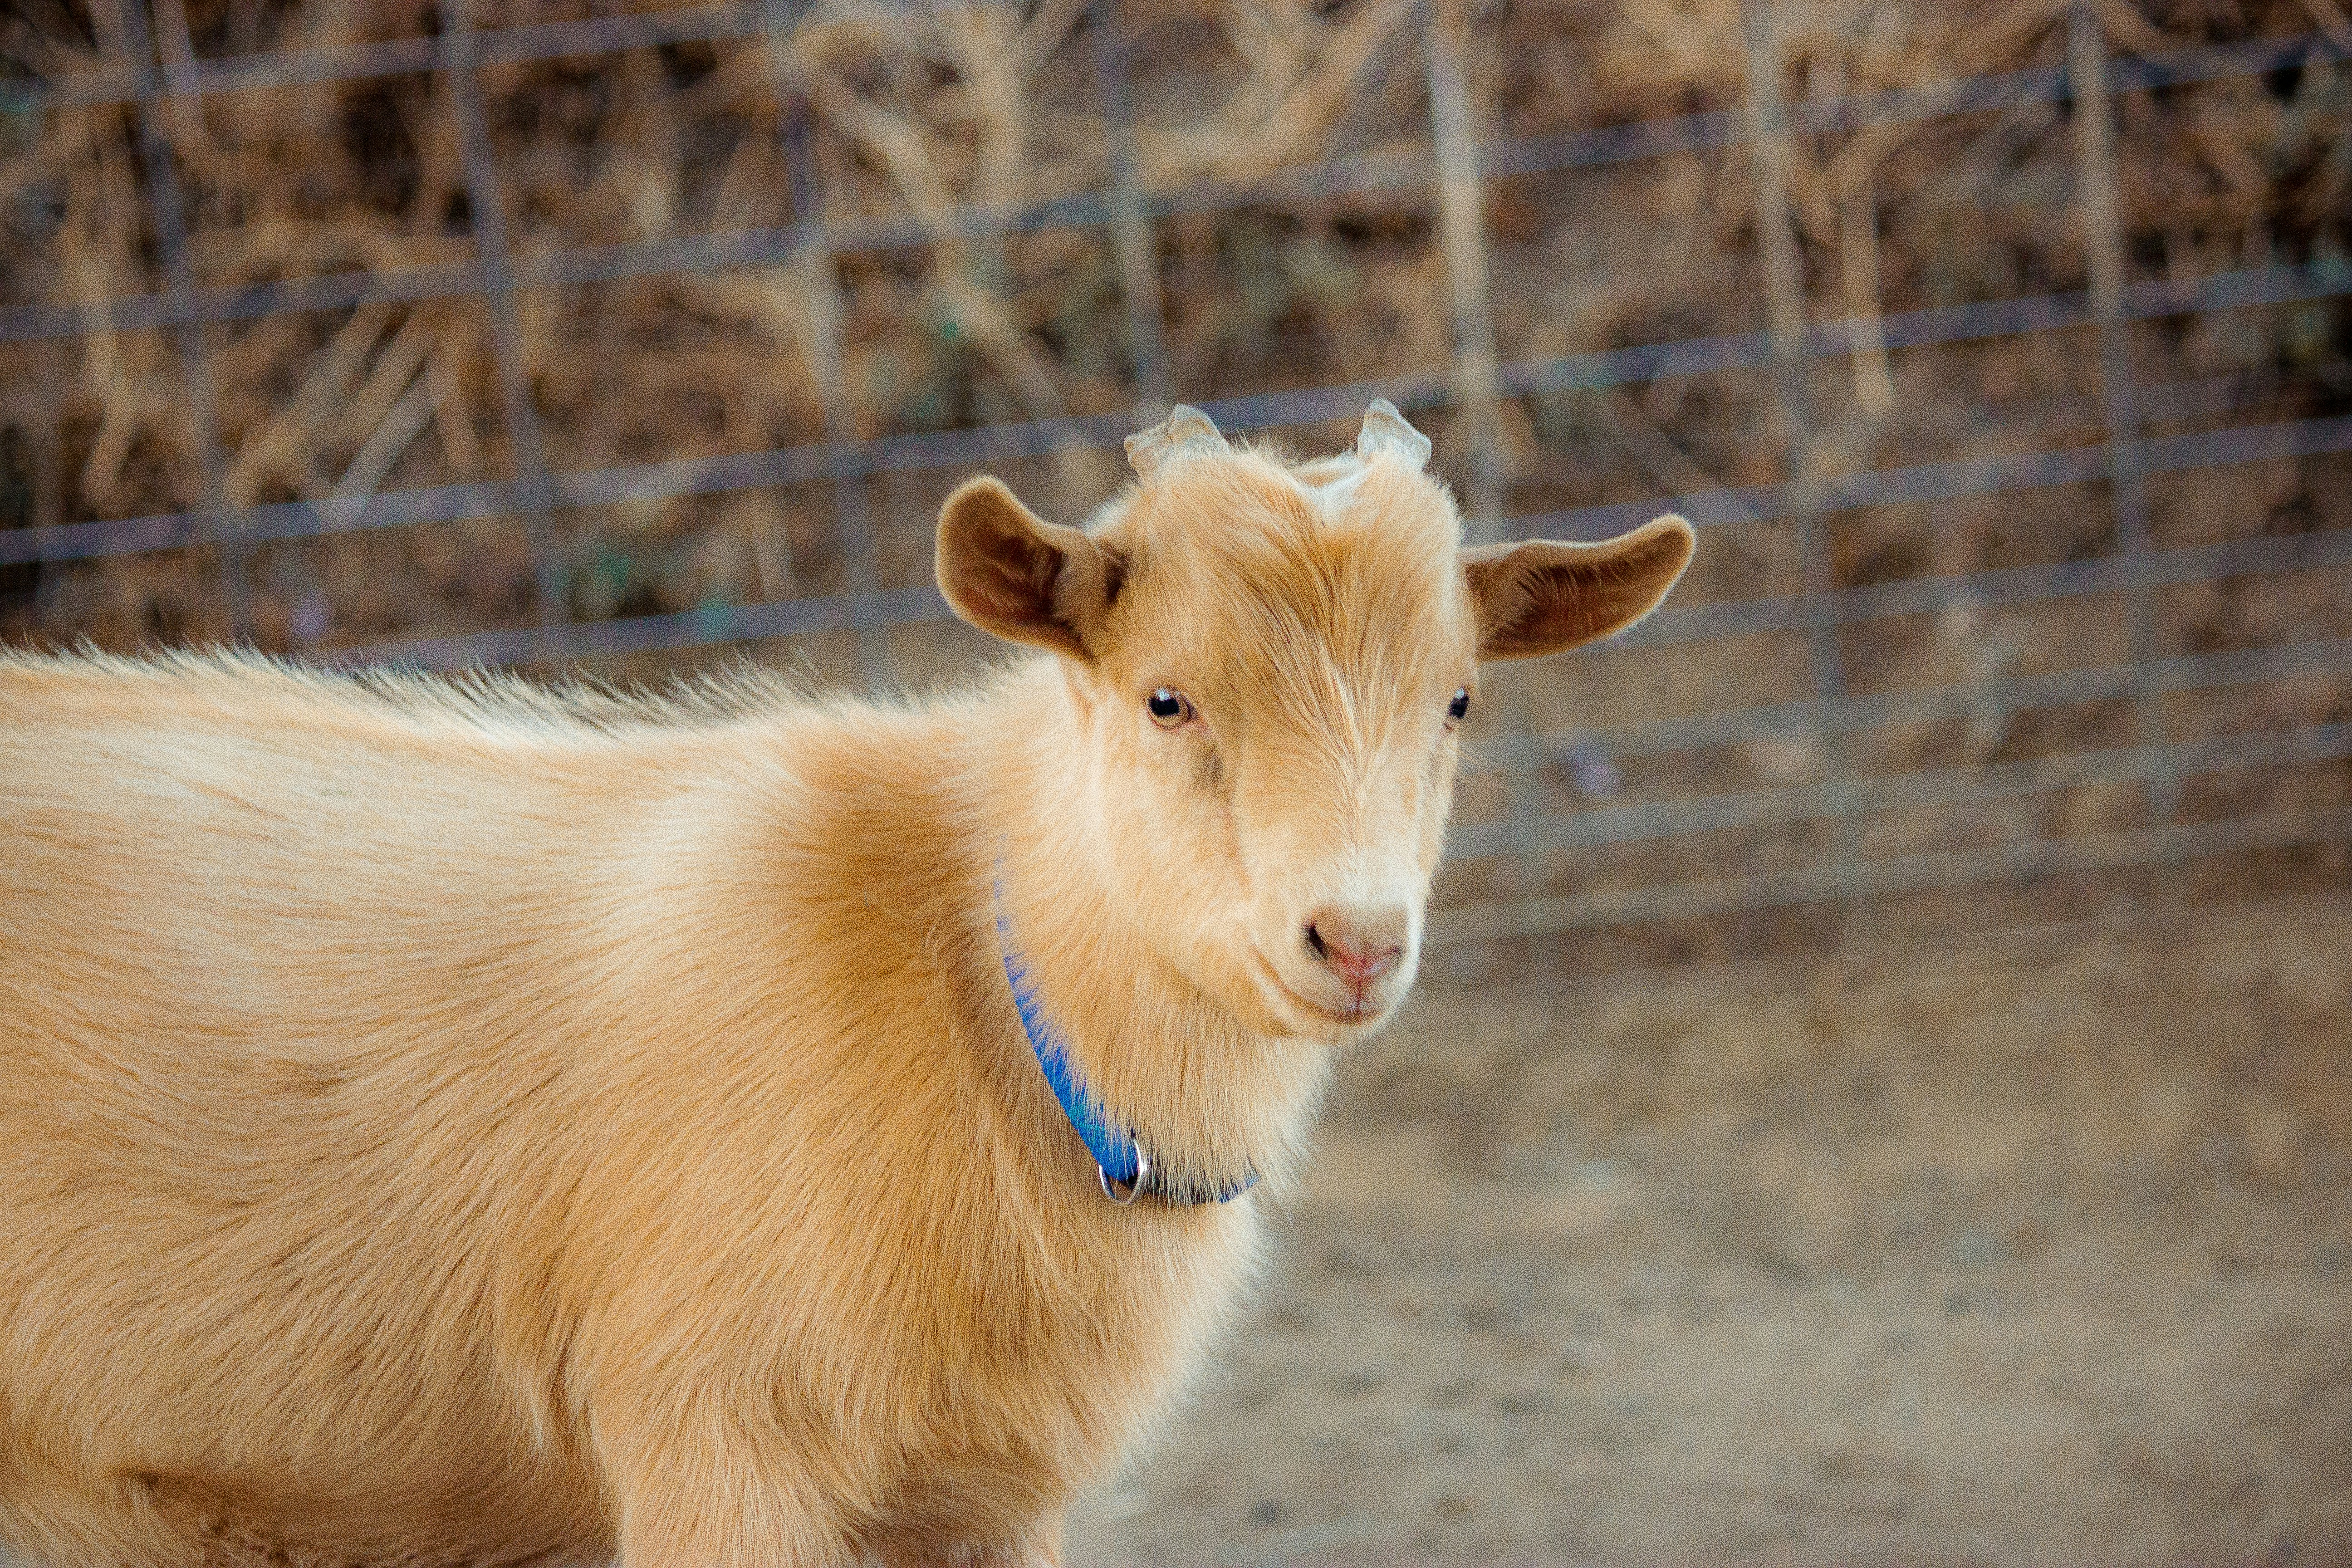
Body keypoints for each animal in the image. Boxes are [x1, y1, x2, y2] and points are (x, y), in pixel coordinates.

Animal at [0, 402, 1692, 1567]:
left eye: (1458, 699)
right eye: (1166, 697)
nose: (1353, 941)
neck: (968, 982)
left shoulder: (985, 1501)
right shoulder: (717, 1451)